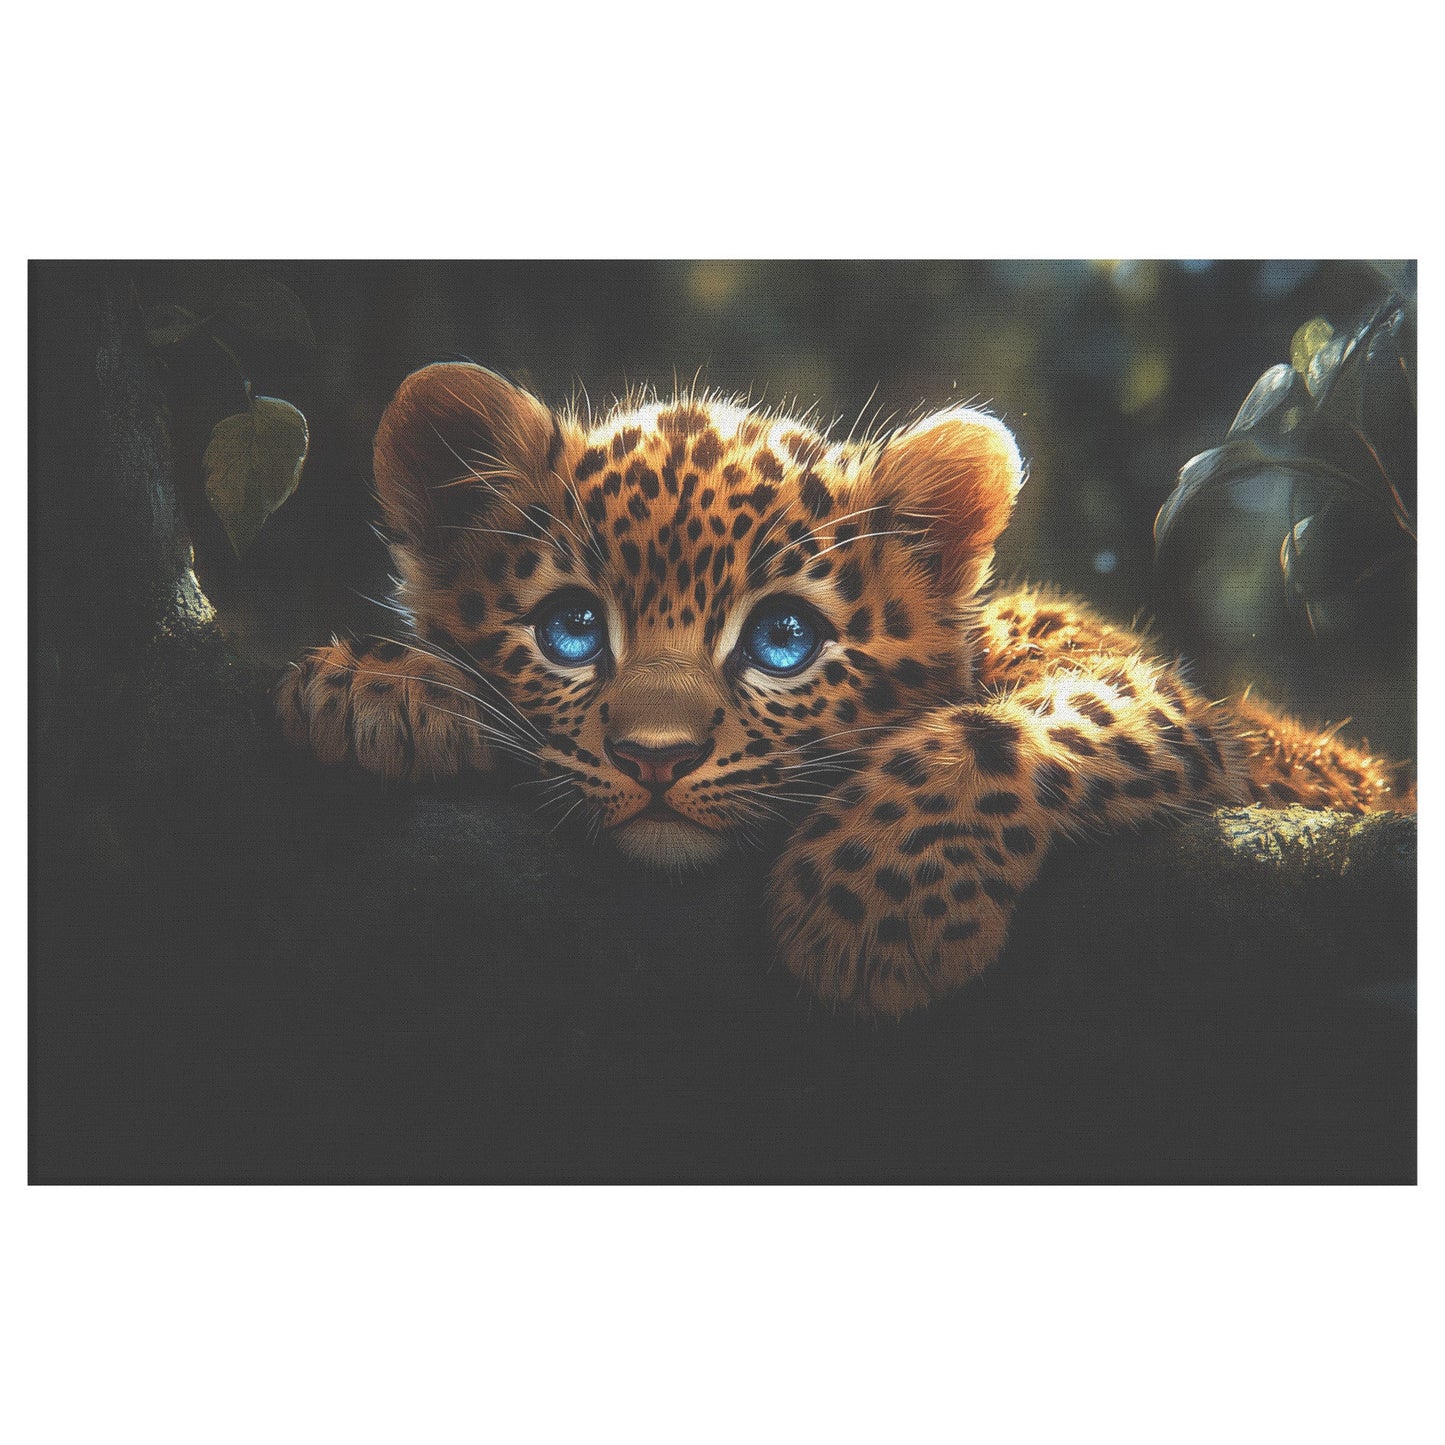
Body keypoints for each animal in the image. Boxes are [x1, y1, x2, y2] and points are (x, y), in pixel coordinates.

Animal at [276, 363, 1415, 1017]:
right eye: (570, 629)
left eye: (784, 640)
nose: (655, 757)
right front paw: (378, 682)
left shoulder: (1170, 703)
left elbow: (1013, 723)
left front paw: (874, 909)